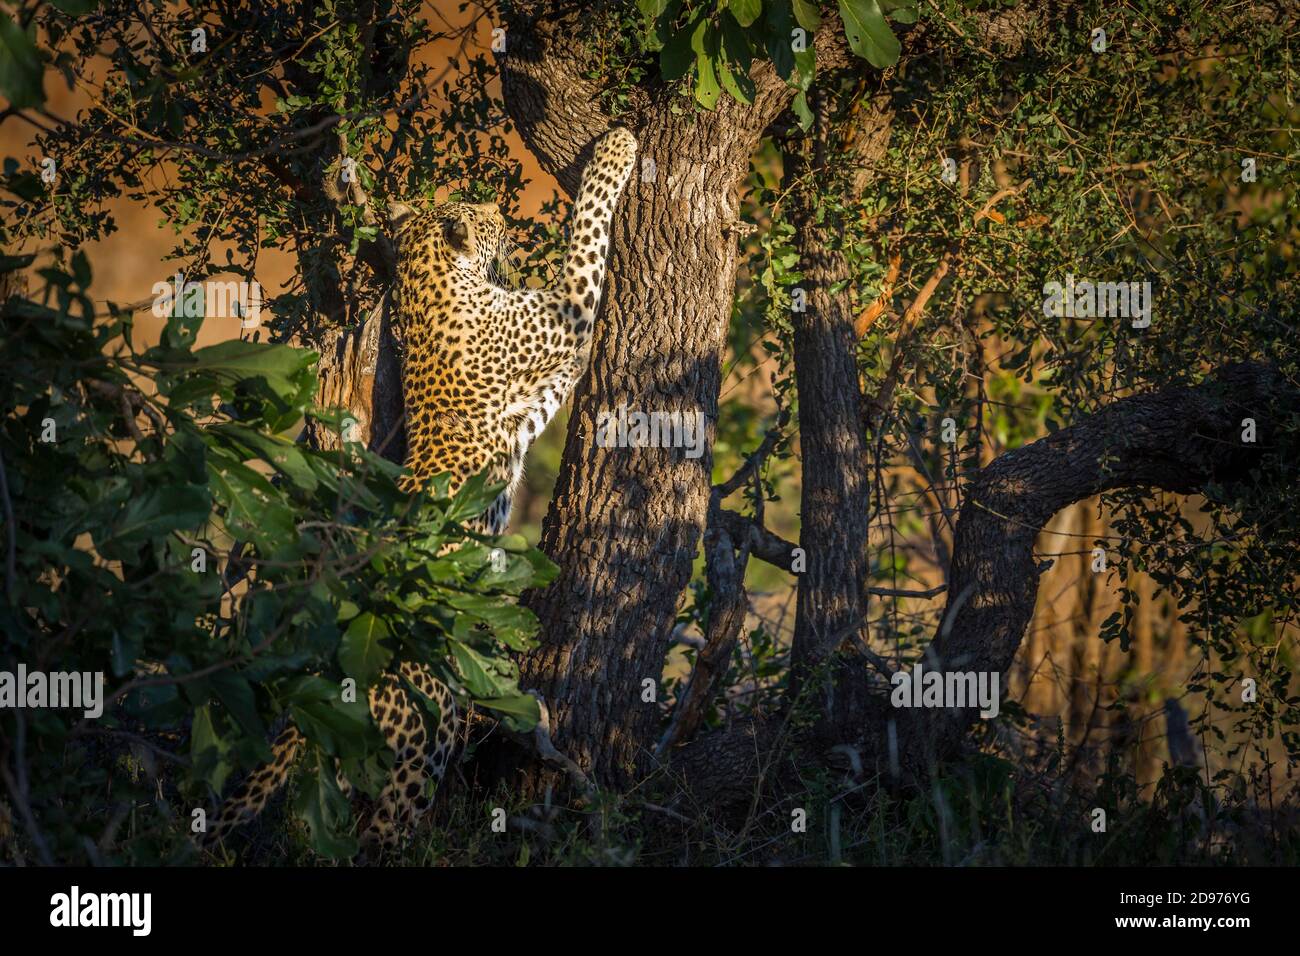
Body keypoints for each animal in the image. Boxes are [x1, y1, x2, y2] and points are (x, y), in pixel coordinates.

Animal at [199, 127, 638, 859]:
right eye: (481, 212)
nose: (499, 206)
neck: (427, 280)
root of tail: (322, 677)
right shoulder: (568, 313)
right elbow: (586, 229)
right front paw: (617, 149)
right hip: (427, 729)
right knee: (382, 828)